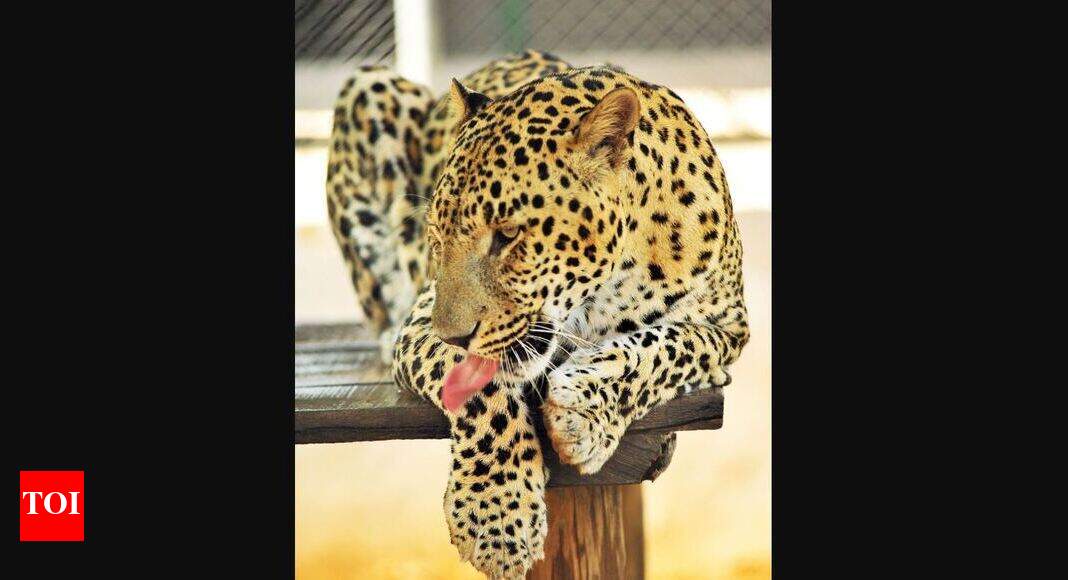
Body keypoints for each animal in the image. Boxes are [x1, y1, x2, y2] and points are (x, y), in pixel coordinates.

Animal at [326, 51, 749, 579]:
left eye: (508, 236)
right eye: (435, 235)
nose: (451, 335)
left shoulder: (728, 329)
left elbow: (665, 348)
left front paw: (584, 413)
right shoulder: (423, 321)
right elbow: (480, 389)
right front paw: (495, 511)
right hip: (369, 86)